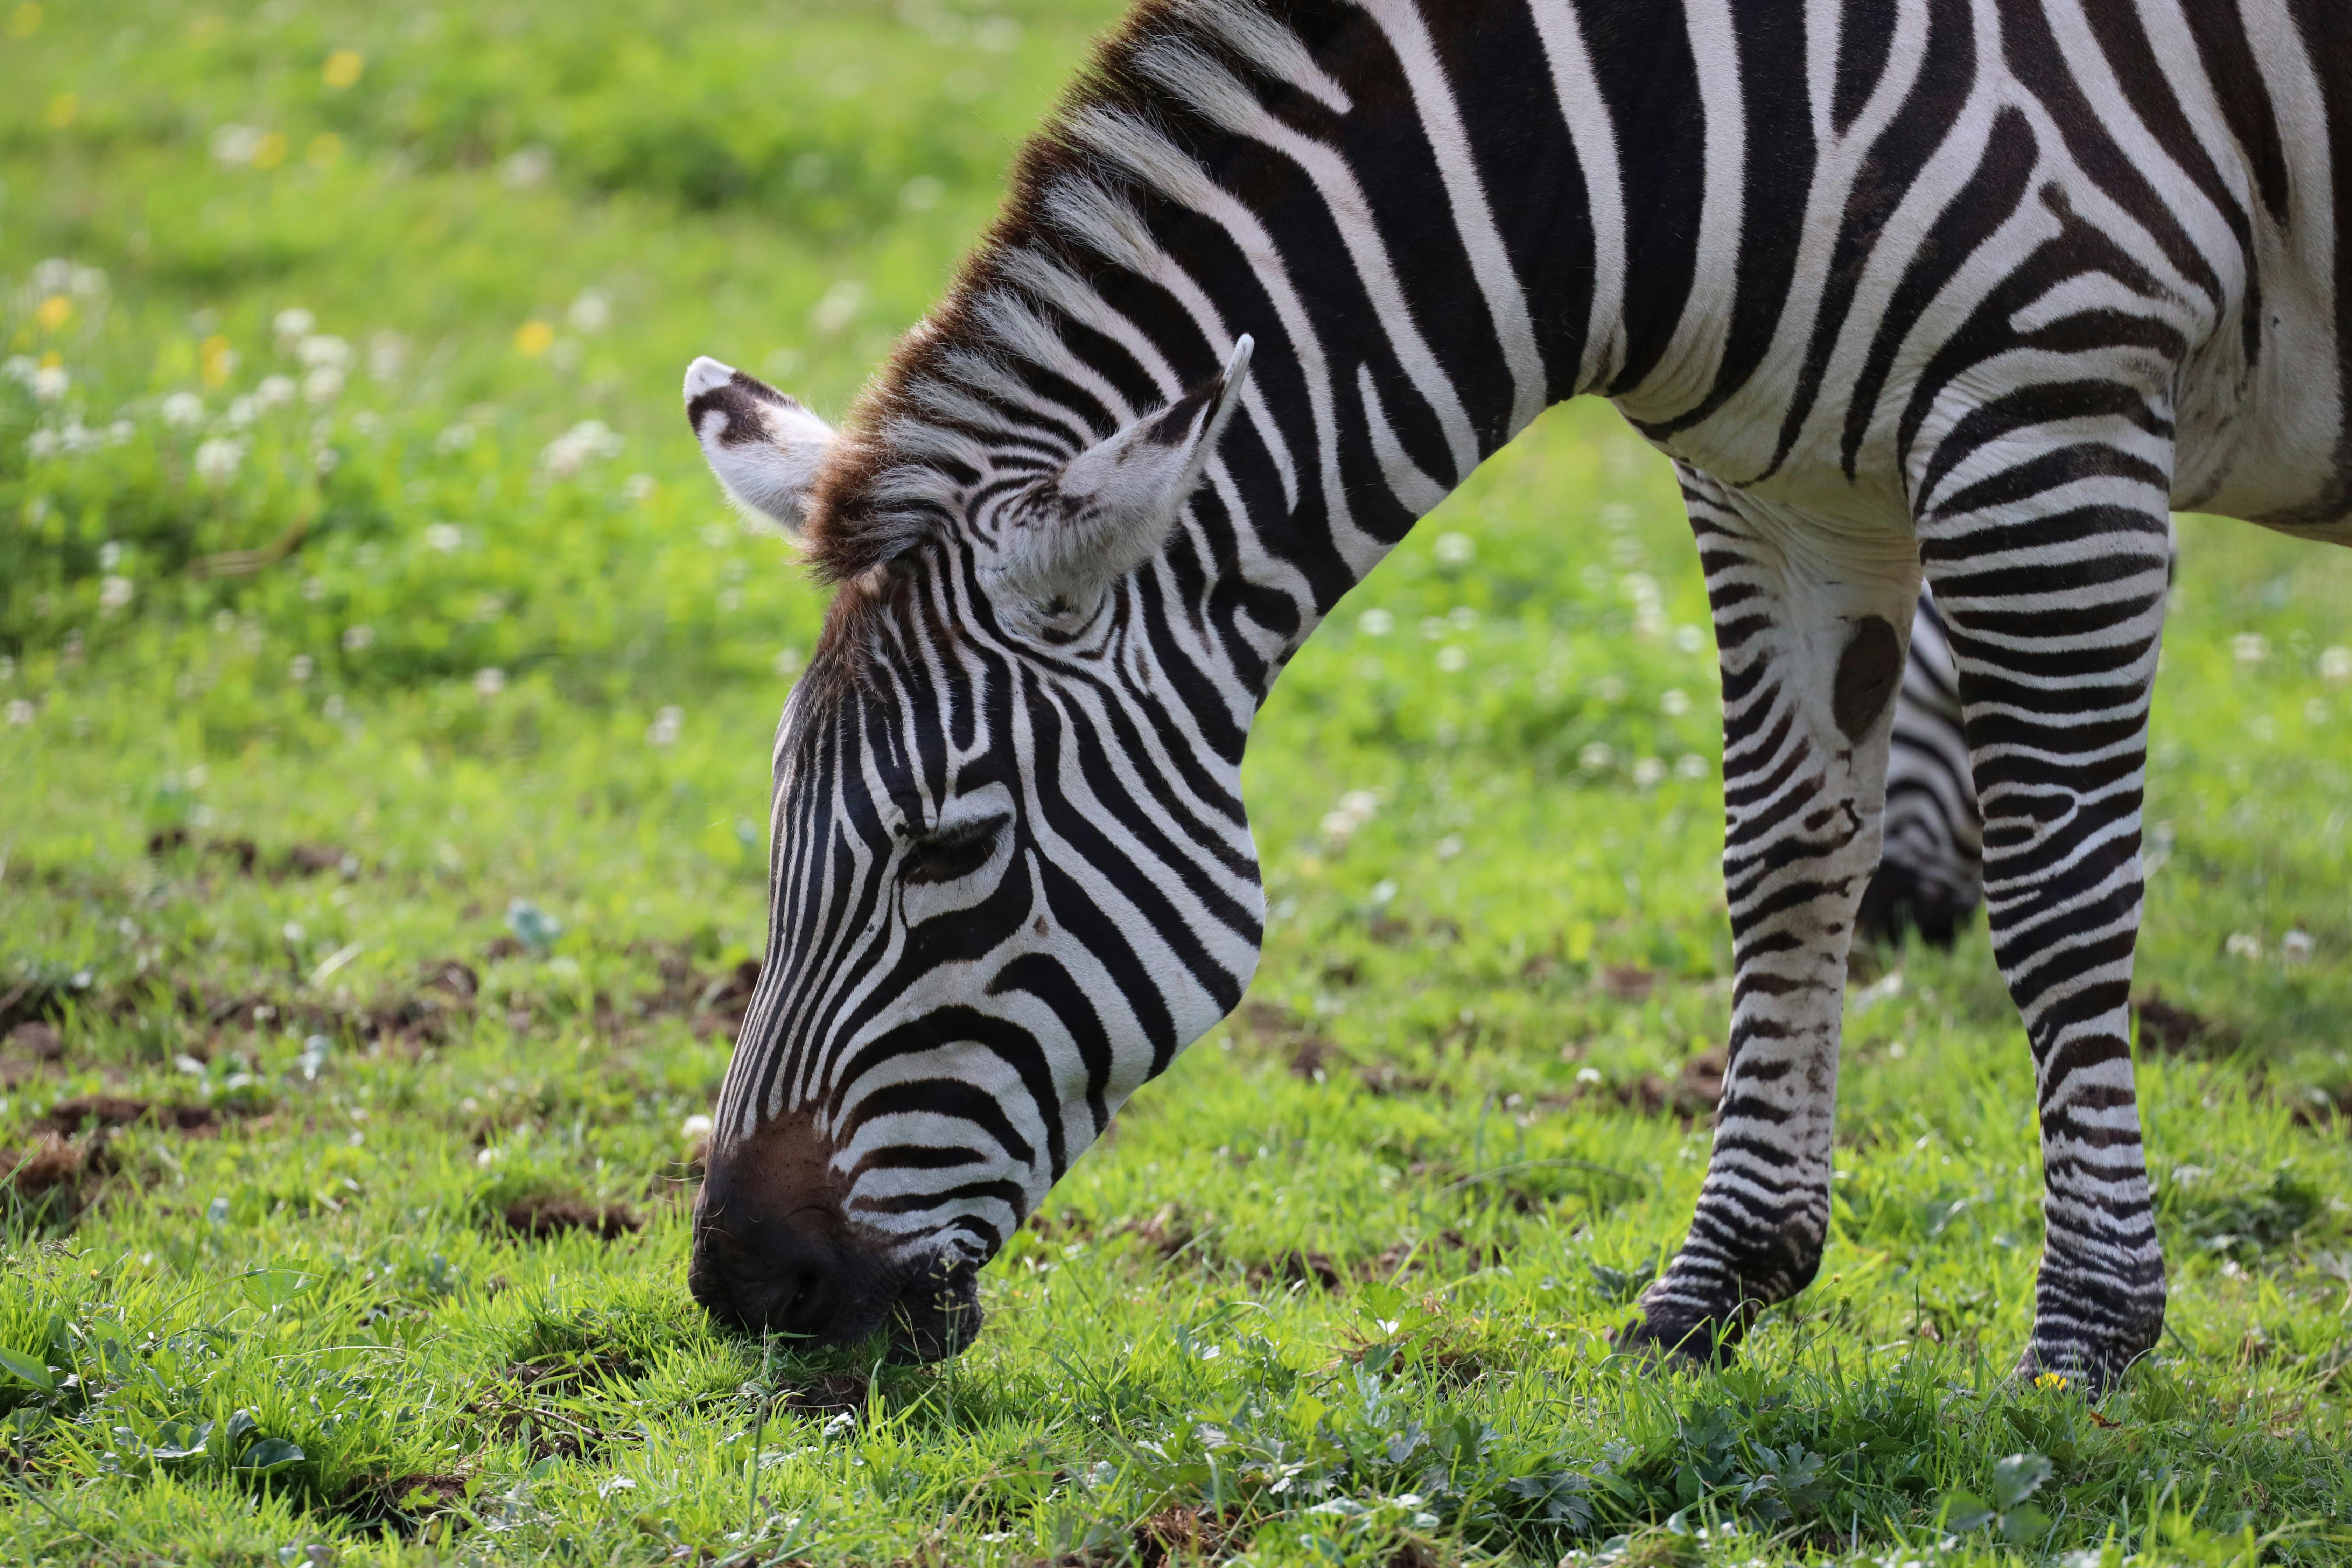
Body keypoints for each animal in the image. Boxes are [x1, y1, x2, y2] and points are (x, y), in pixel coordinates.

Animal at [682, 0, 2351, 1388]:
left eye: (949, 849)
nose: (739, 1285)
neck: (1674, 134)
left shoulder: (2049, 423)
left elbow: (2059, 899)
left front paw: (2084, 1332)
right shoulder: (1778, 484)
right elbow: (1782, 862)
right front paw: (1714, 1285)